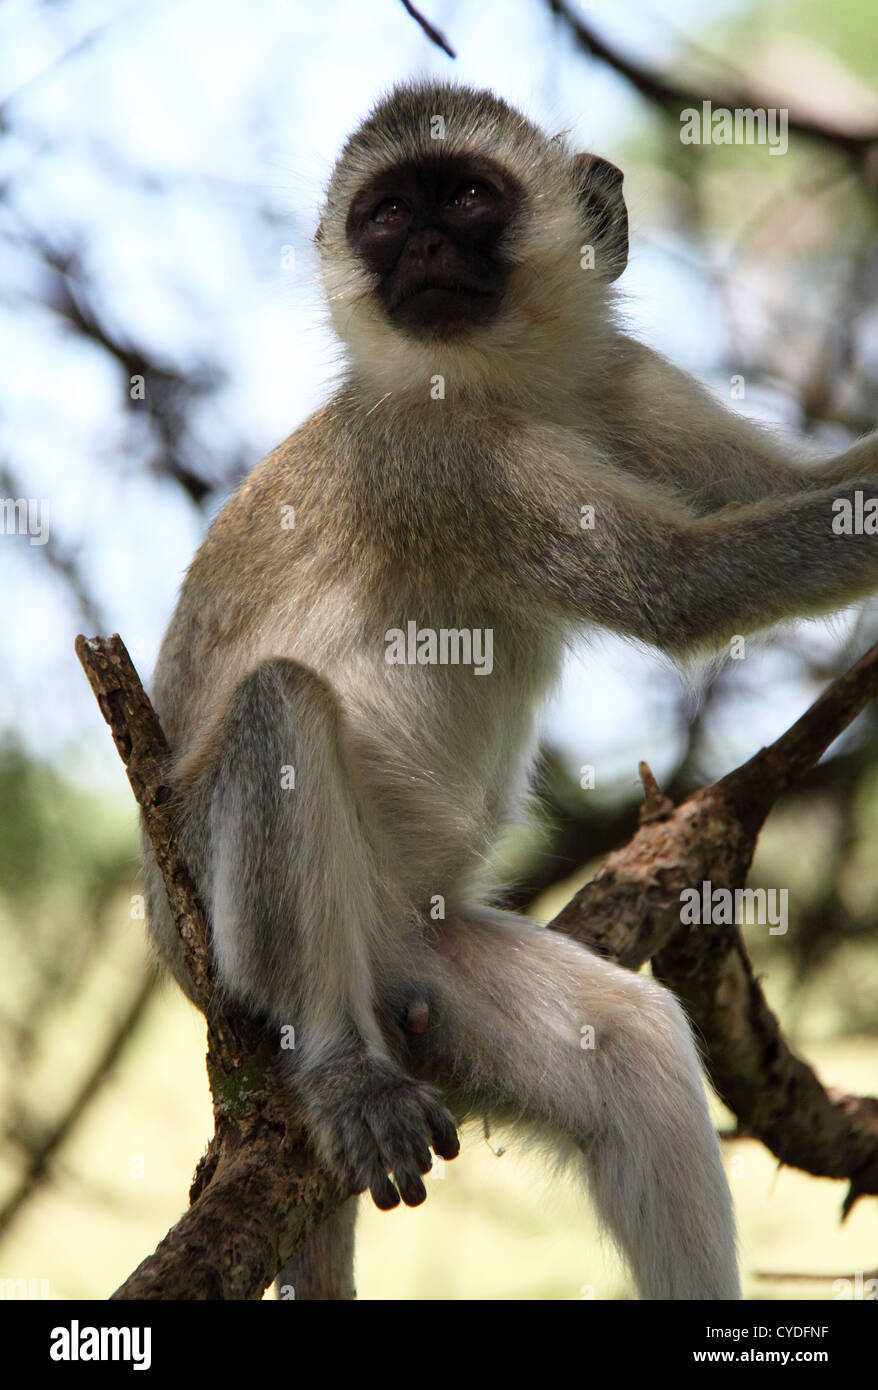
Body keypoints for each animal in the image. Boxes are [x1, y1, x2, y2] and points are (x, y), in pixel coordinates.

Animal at [143, 81, 878, 1302]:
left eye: (469, 197)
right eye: (389, 216)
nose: (427, 249)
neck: (513, 383)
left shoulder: (626, 382)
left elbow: (795, 489)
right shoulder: (439, 454)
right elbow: (688, 583)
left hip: (426, 969)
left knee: (631, 1047)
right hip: (212, 909)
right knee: (279, 706)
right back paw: (332, 1063)